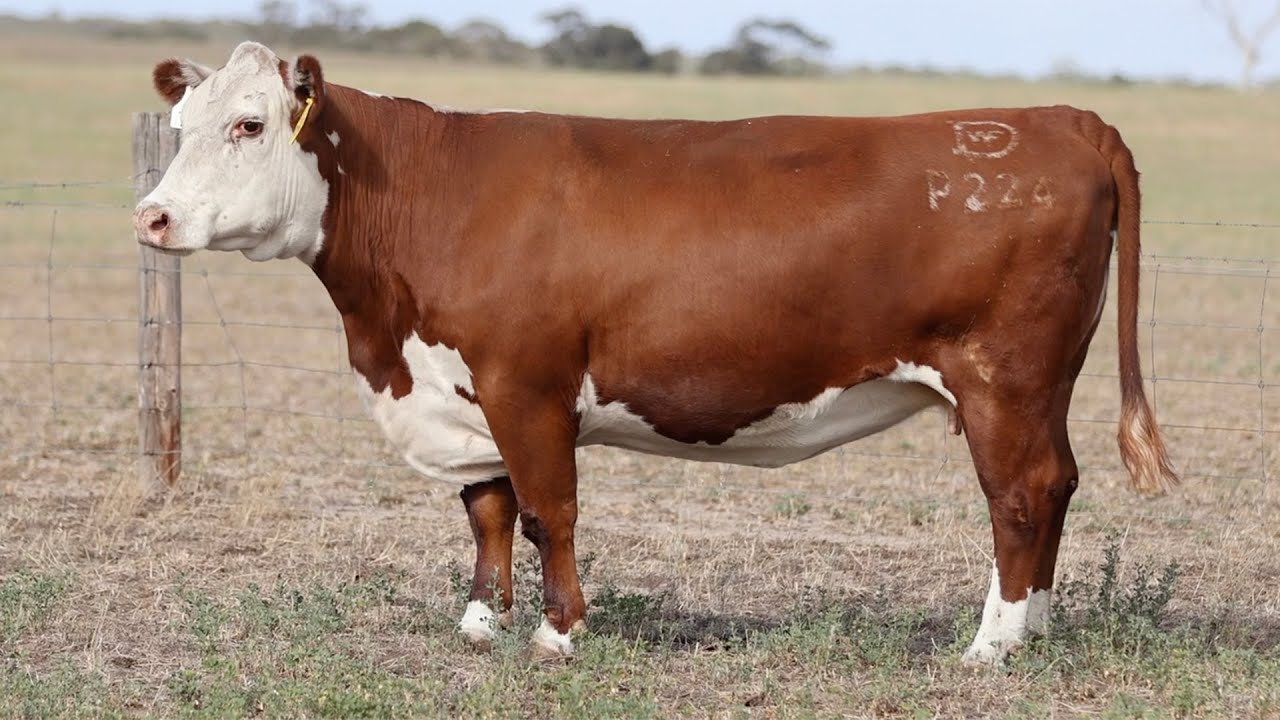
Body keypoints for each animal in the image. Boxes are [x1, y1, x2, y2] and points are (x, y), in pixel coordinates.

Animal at [133, 42, 1177, 666]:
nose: (153, 216)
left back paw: (991, 645)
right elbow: (486, 510)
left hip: (1002, 379)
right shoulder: (461, 396)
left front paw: (558, 633)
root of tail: (1057, 117)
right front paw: (480, 622)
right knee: (1057, 485)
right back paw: (1036, 627)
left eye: (249, 124)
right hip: (1040, 384)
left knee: (1020, 494)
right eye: (180, 128)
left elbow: (547, 510)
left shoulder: (526, 383)